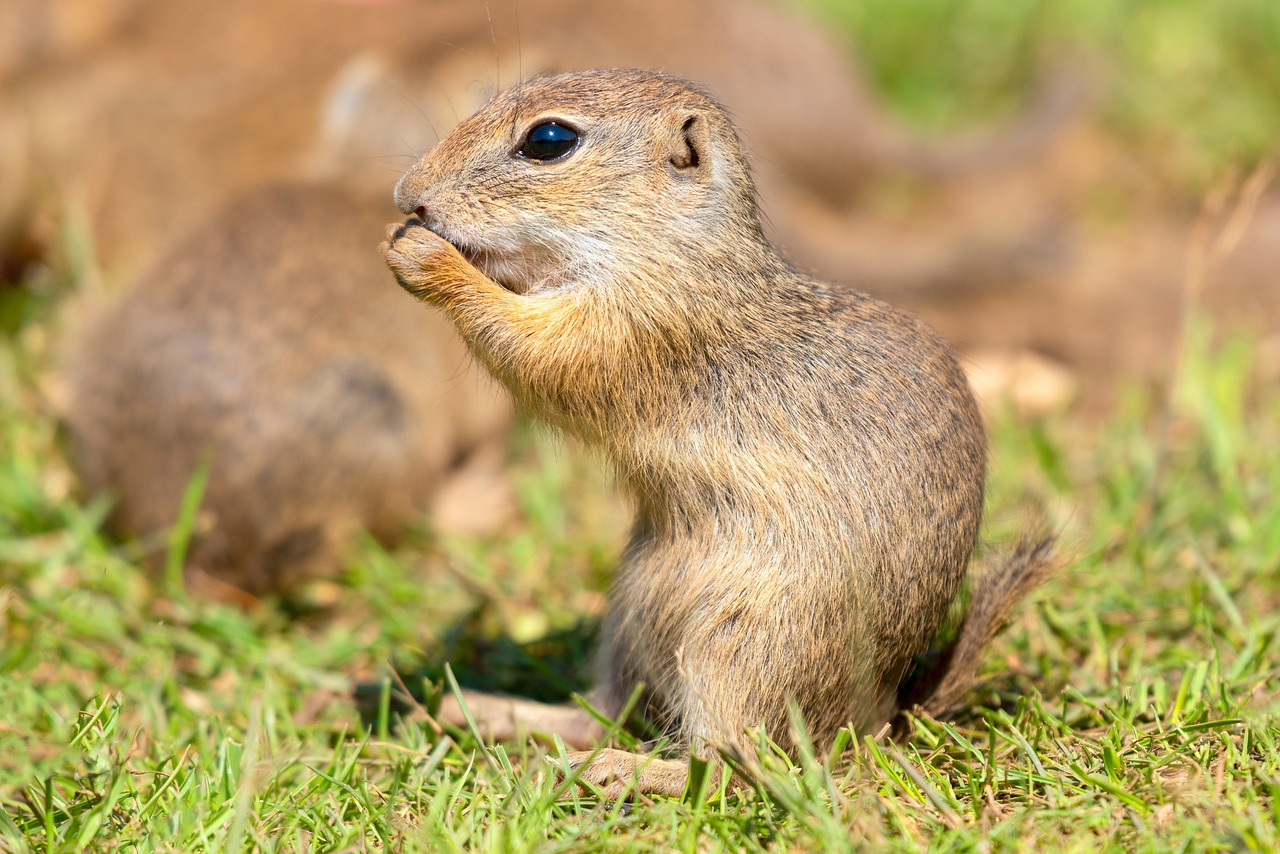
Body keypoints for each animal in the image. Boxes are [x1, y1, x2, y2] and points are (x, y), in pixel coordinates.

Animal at [383, 69, 1056, 798]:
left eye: (549, 140)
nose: (408, 196)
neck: (678, 246)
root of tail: (876, 716)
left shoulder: (635, 326)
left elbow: (536, 350)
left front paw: (427, 258)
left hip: (740, 646)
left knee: (733, 765)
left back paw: (617, 770)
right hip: (632, 616)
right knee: (606, 713)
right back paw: (489, 711)